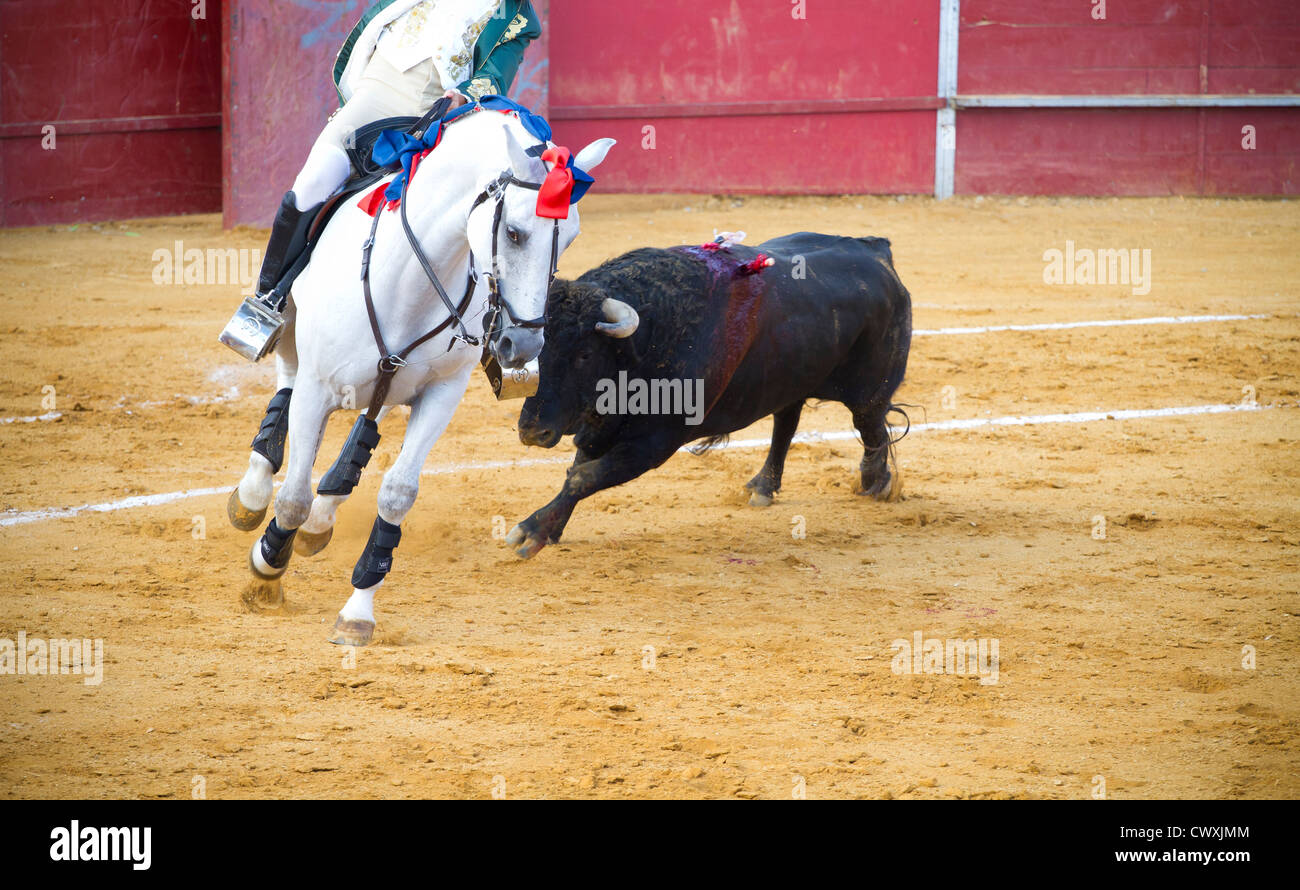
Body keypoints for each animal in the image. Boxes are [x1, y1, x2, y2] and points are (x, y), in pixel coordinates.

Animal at [506, 232, 912, 559]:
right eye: (532, 353)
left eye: (584, 354)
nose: (533, 431)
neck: (652, 333)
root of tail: (875, 251)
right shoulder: (600, 428)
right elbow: (576, 473)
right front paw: (545, 528)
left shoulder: (653, 444)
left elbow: (583, 477)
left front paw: (533, 531)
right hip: (789, 376)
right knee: (787, 422)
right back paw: (764, 486)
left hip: (869, 391)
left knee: (871, 427)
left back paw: (876, 482)